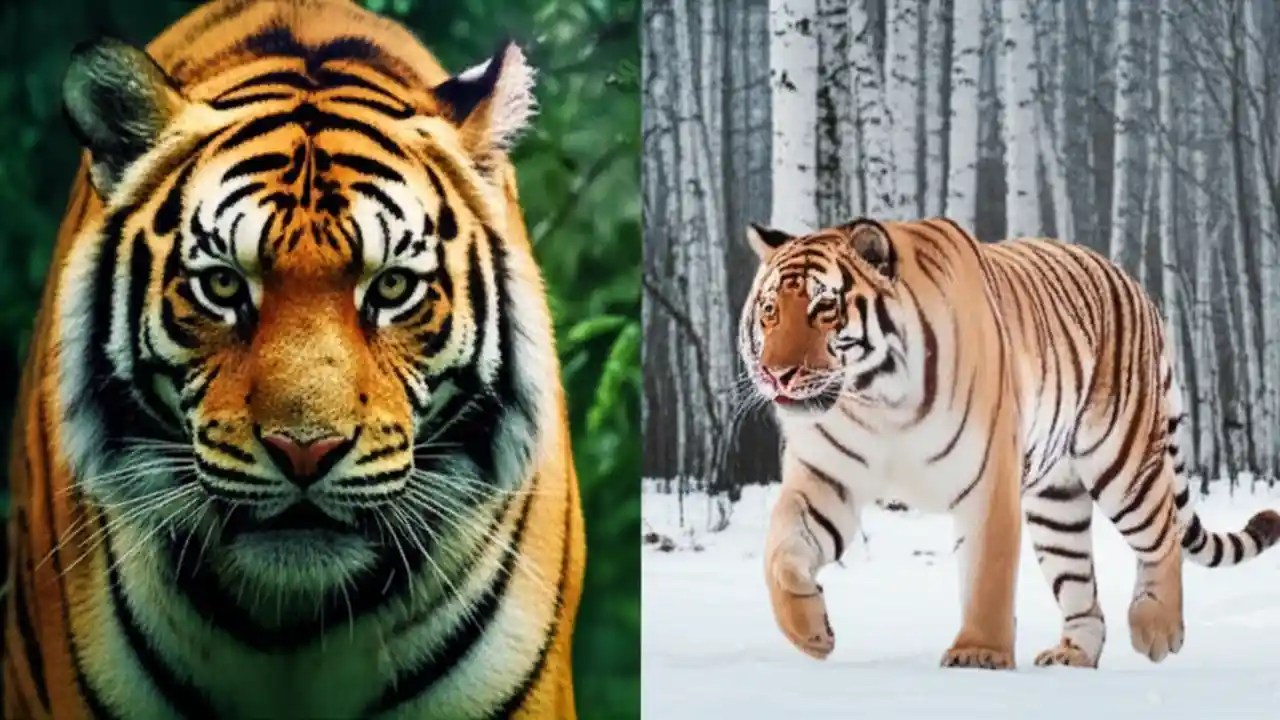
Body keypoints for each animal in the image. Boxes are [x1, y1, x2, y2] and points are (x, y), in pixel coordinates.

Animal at [738, 216, 1280, 670]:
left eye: (824, 309)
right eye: (769, 310)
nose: (775, 373)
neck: (875, 400)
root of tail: (1131, 282)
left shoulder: (987, 482)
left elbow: (988, 575)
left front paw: (978, 654)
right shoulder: (825, 480)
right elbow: (781, 554)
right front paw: (809, 632)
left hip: (1121, 460)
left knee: (1161, 531)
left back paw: (1157, 630)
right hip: (1056, 503)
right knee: (1080, 583)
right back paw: (1074, 655)